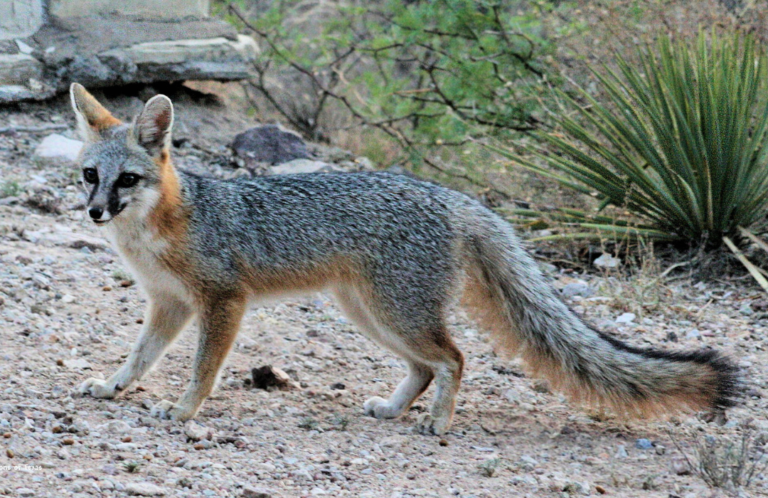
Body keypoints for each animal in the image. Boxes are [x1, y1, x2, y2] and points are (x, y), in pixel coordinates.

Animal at [69, 83, 738, 435]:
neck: (161, 229)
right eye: (89, 176)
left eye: (127, 180)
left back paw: (438, 423)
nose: (96, 213)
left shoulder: (222, 302)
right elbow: (139, 357)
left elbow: (201, 370)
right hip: (369, 312)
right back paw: (394, 408)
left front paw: (184, 411)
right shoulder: (170, 305)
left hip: (395, 312)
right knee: (425, 366)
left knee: (454, 358)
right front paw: (112, 387)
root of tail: (457, 197)